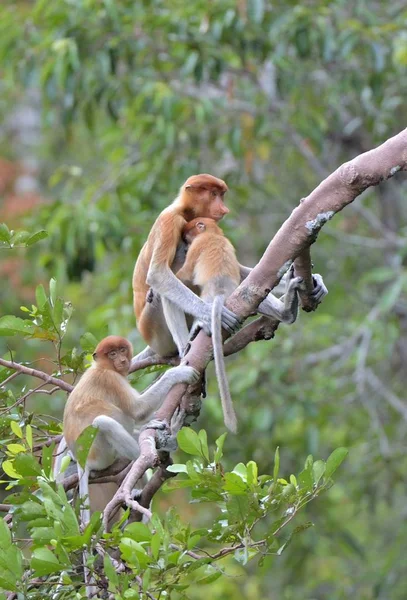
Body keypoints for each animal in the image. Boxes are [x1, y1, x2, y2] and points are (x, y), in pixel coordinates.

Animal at [61, 336, 200, 524]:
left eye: (122, 350)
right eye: (112, 354)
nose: (122, 361)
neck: (103, 367)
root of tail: (82, 462)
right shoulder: (111, 379)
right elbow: (138, 410)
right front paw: (179, 373)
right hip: (101, 455)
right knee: (103, 422)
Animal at [132, 173, 241, 360]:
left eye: (221, 195)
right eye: (213, 194)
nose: (224, 209)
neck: (185, 211)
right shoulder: (170, 220)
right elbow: (158, 274)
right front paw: (209, 312)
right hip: (155, 332)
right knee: (160, 292)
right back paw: (185, 348)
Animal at [178, 218, 310, 434]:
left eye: (189, 237)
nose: (185, 244)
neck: (213, 234)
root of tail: (220, 290)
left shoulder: (198, 246)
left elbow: (184, 274)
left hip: (206, 298)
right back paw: (288, 312)